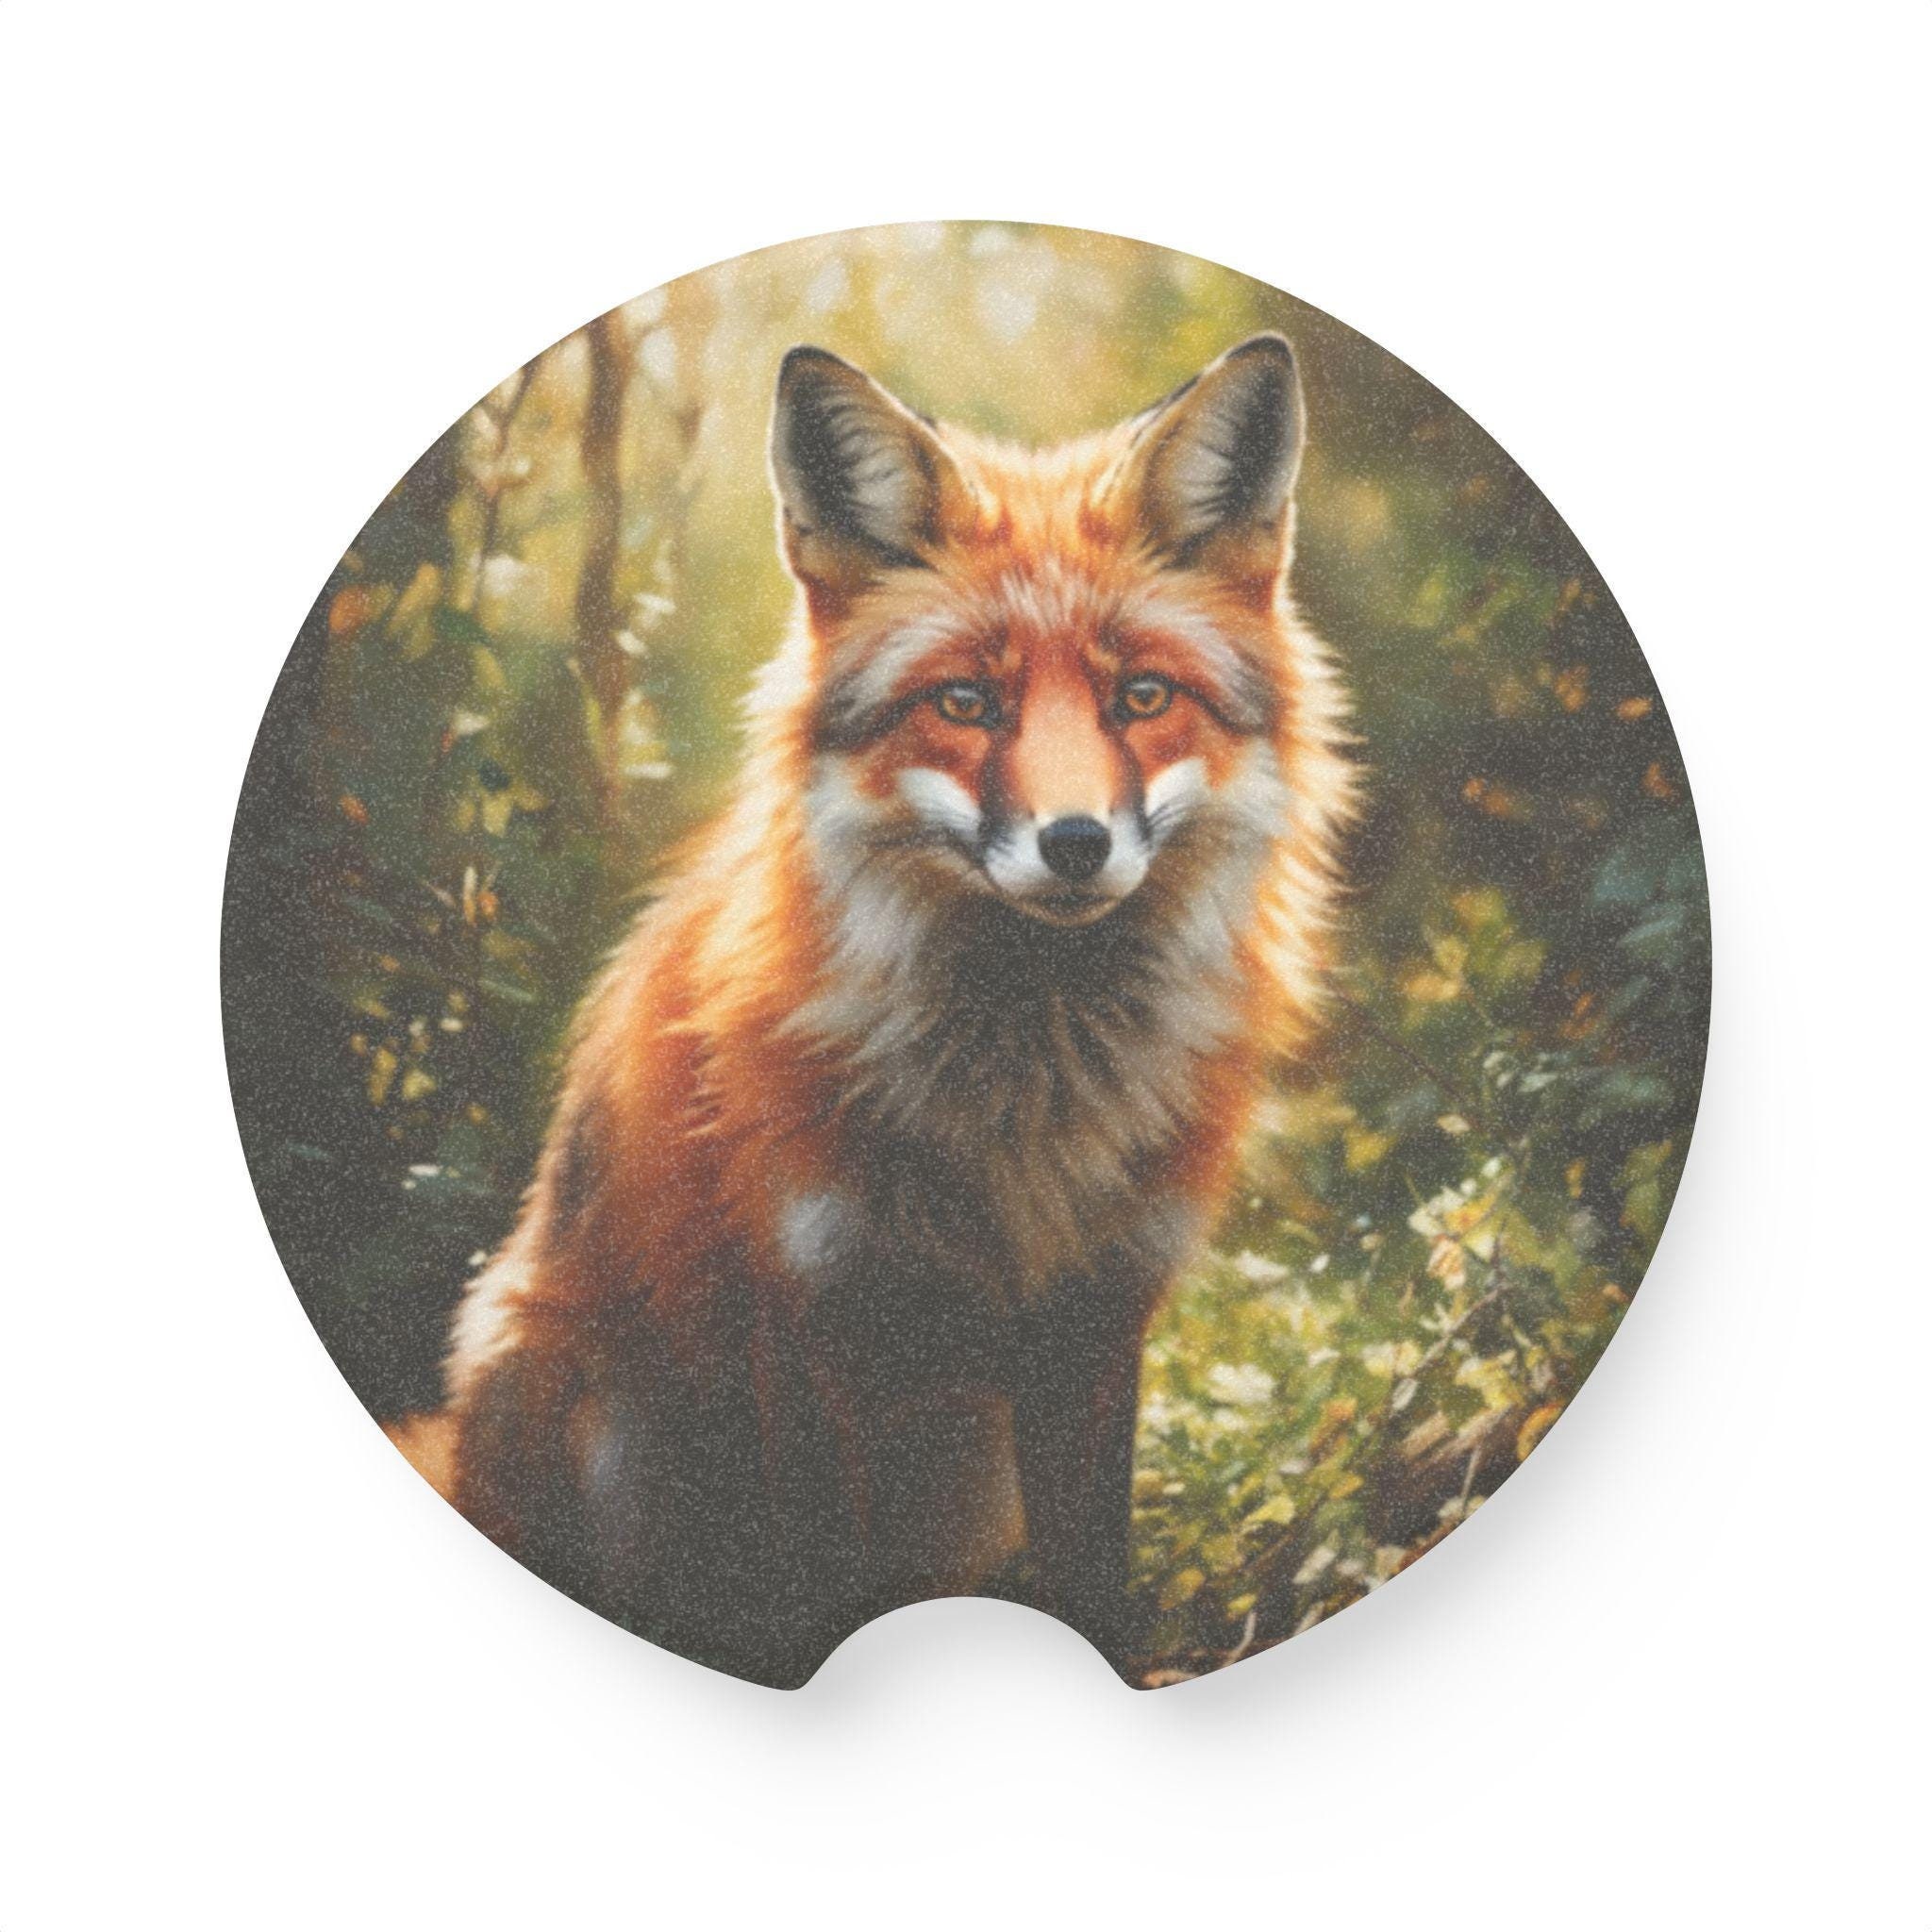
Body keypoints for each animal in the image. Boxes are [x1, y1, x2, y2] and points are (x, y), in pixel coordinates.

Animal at [400, 332, 1355, 1685]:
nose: (1074, 843)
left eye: (1139, 698)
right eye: (964, 703)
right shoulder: (813, 1318)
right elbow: (825, 1589)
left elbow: (1093, 1581)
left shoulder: (1097, 1322)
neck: (1024, 1100)